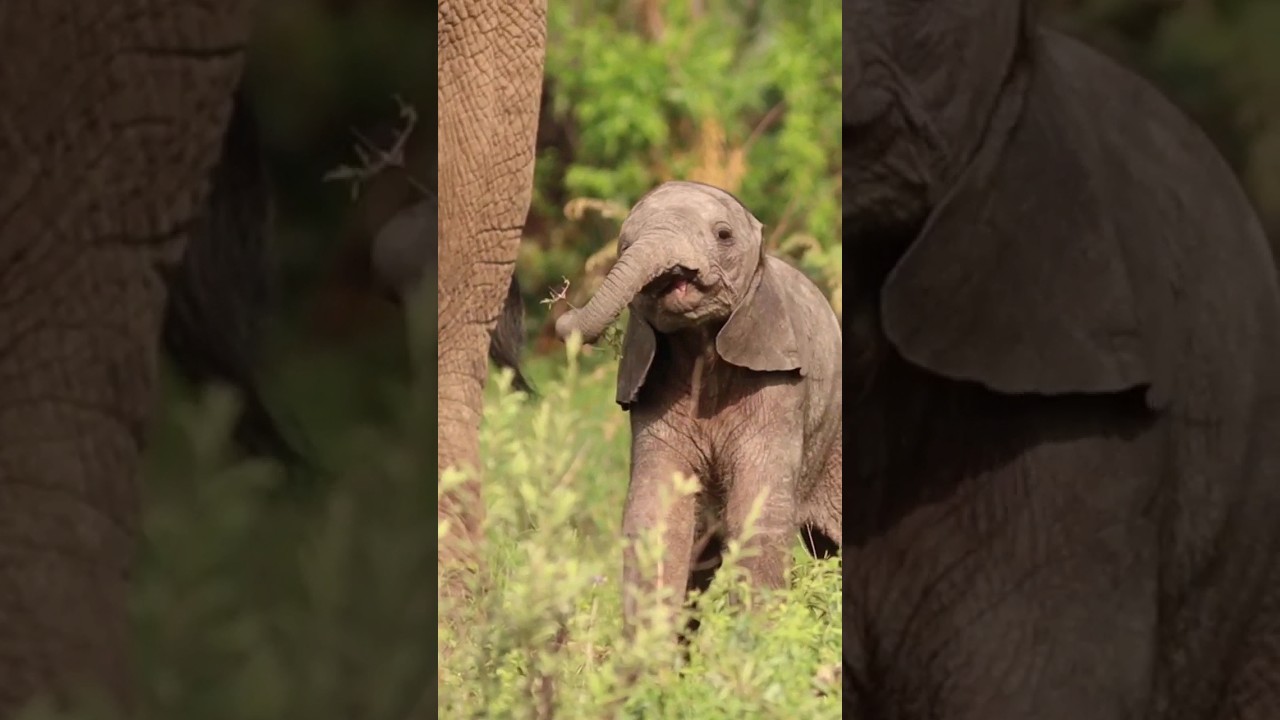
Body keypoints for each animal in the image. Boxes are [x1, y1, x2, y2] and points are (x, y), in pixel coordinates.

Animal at [554, 181, 843, 631]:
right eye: (624, 244)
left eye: (724, 235)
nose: (563, 320)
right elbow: (656, 517)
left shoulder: (779, 386)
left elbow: (758, 510)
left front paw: (757, 641)